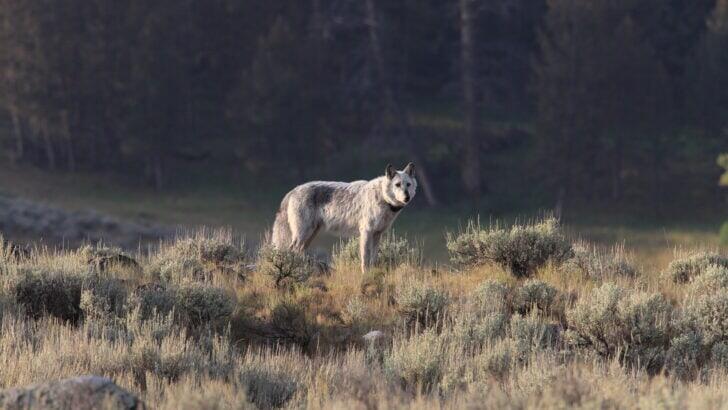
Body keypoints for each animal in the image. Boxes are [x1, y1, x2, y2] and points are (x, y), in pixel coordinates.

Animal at [271, 163, 417, 272]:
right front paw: (365, 275)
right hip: (303, 234)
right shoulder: (366, 232)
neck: (382, 197)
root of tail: (293, 190)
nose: (407, 197)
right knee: (292, 251)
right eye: (397, 185)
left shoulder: (377, 234)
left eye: (408, 185)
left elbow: (374, 259)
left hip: (310, 235)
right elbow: (365, 259)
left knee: (299, 251)